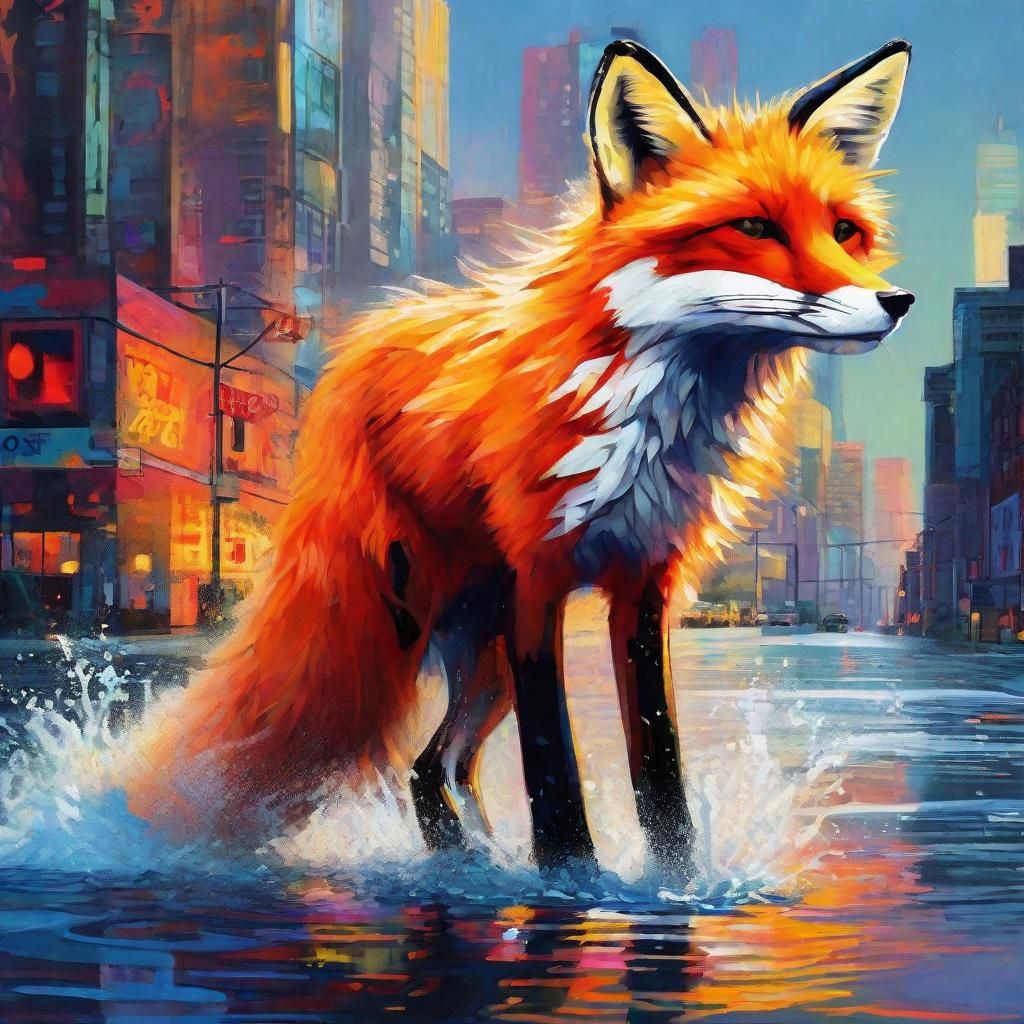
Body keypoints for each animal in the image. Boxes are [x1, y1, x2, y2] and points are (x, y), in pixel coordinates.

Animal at [129, 39, 913, 869]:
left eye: (845, 231)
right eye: (756, 227)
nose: (895, 302)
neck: (644, 422)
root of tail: (354, 348)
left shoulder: (644, 586)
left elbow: (659, 764)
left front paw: (674, 877)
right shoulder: (537, 579)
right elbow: (553, 766)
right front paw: (573, 878)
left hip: (484, 653)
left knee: (430, 767)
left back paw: (471, 864)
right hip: (414, 619)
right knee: (419, 757)